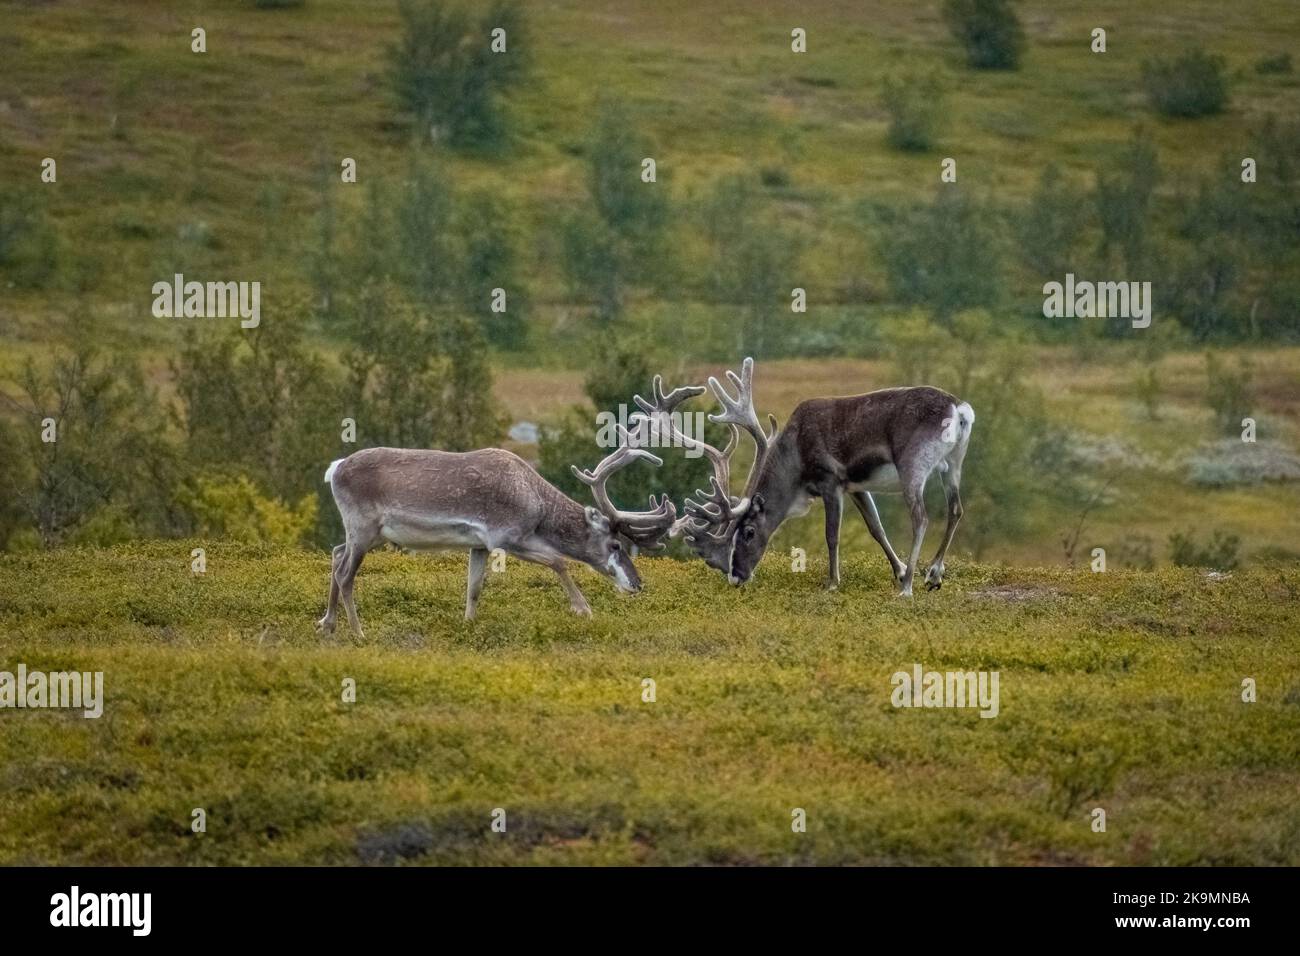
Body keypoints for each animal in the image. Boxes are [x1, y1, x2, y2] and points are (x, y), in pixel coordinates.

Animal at [315, 425, 677, 634]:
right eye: (616, 545)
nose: (638, 583)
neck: (537, 504)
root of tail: (334, 469)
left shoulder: (479, 544)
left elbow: (474, 587)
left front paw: (468, 624)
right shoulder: (505, 537)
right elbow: (559, 561)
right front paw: (583, 609)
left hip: (366, 533)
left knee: (335, 555)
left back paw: (327, 623)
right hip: (362, 528)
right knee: (346, 573)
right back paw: (358, 633)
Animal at [656, 358, 974, 596]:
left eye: (749, 532)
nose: (737, 577)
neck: (795, 462)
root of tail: (959, 409)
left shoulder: (829, 480)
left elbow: (831, 535)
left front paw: (833, 582)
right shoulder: (855, 486)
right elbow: (876, 528)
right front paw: (899, 570)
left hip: (912, 465)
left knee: (921, 517)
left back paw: (908, 587)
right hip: (953, 463)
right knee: (956, 509)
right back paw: (933, 574)